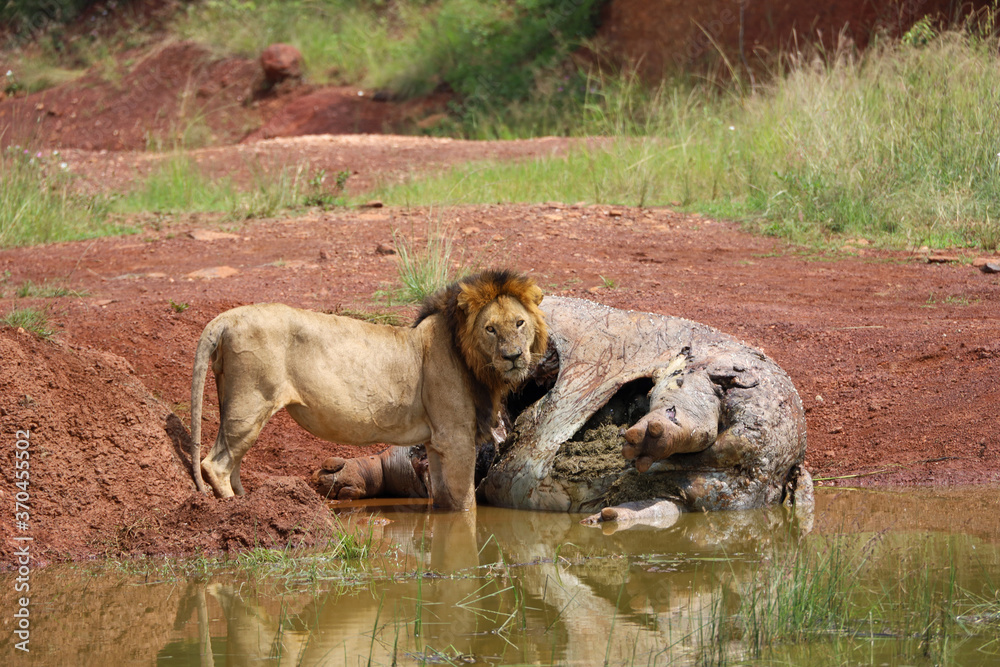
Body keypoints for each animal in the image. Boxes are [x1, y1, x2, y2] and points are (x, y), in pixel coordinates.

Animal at [189, 269, 548, 510]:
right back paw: (235, 509)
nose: (513, 356)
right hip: (250, 402)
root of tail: (225, 318)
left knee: (232, 461)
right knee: (215, 464)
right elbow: (464, 505)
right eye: (490, 329)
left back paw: (248, 502)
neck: (470, 357)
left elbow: (444, 498)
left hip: (231, 396)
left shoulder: (436, 442)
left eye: (519, 323)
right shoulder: (456, 438)